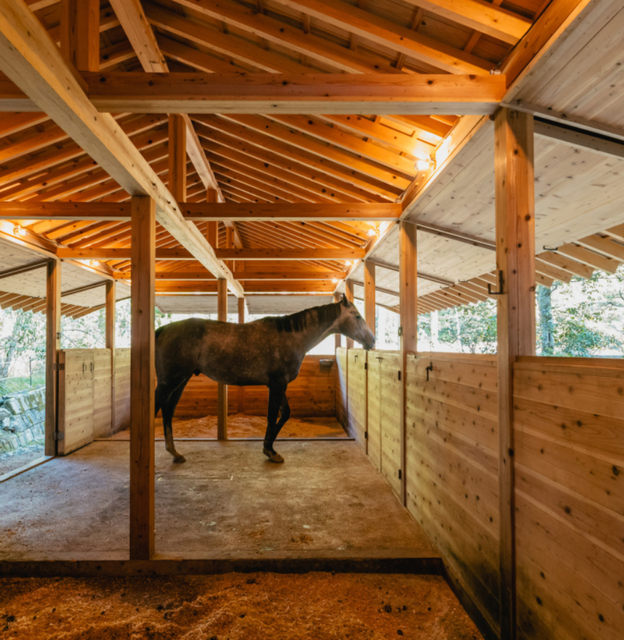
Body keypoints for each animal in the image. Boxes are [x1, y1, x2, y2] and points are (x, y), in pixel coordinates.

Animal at [154, 294, 375, 464]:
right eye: (357, 315)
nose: (372, 340)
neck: (291, 337)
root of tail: (162, 330)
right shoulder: (277, 384)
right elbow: (272, 415)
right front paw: (270, 451)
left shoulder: (279, 385)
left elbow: (285, 413)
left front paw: (269, 447)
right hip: (170, 382)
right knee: (157, 406)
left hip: (181, 381)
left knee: (168, 410)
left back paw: (175, 453)